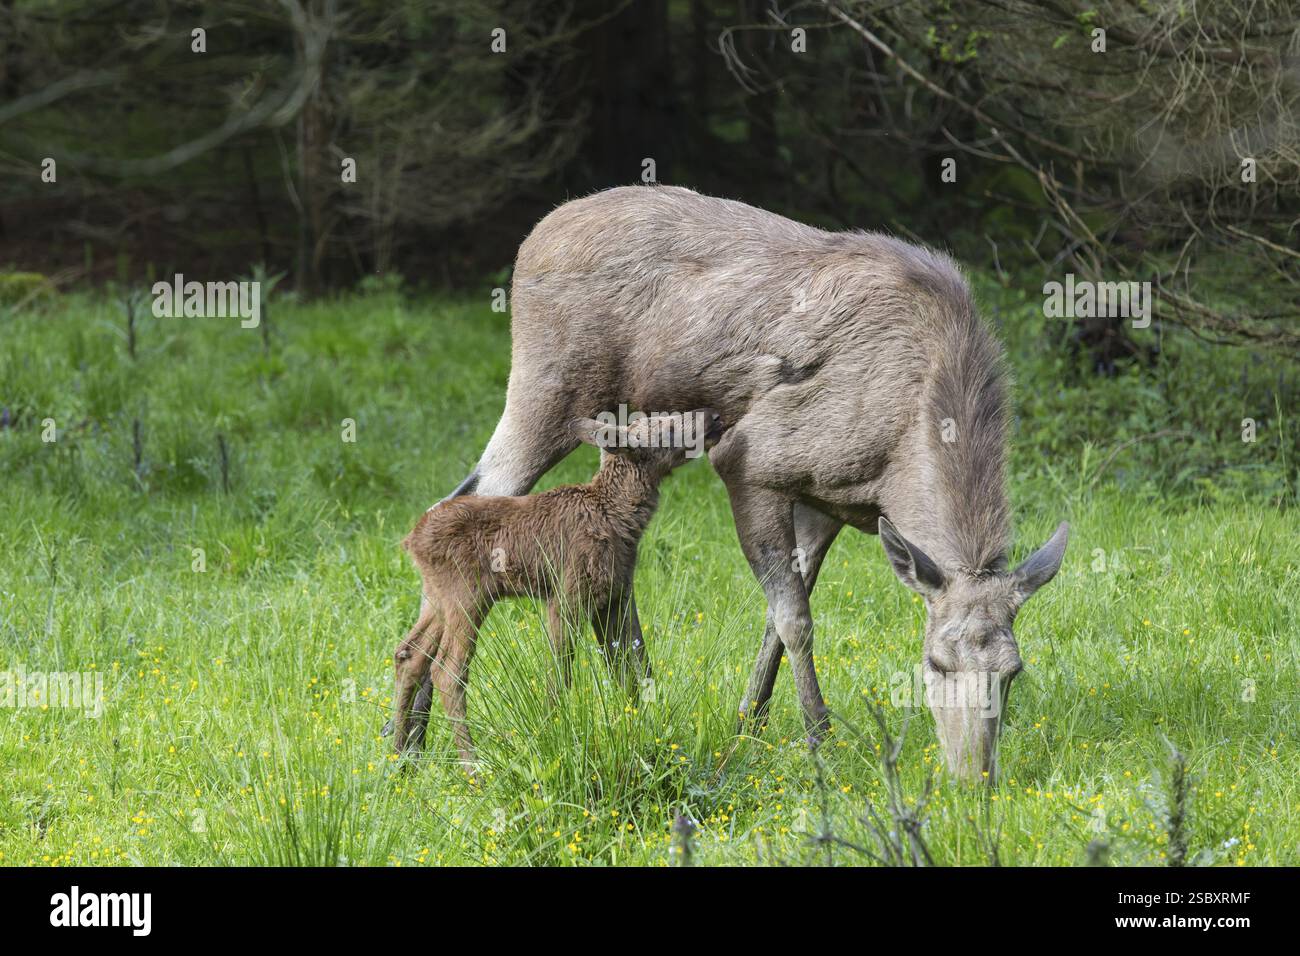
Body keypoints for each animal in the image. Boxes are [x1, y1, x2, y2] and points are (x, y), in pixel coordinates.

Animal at [389, 409, 724, 766]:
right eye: (669, 427)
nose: (714, 417)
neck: (620, 520)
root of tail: (411, 541)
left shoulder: (615, 596)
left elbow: (629, 668)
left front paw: (638, 728)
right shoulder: (567, 593)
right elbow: (561, 670)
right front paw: (553, 731)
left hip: (437, 599)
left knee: (409, 654)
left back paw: (399, 757)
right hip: (467, 594)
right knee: (447, 670)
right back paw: (471, 764)